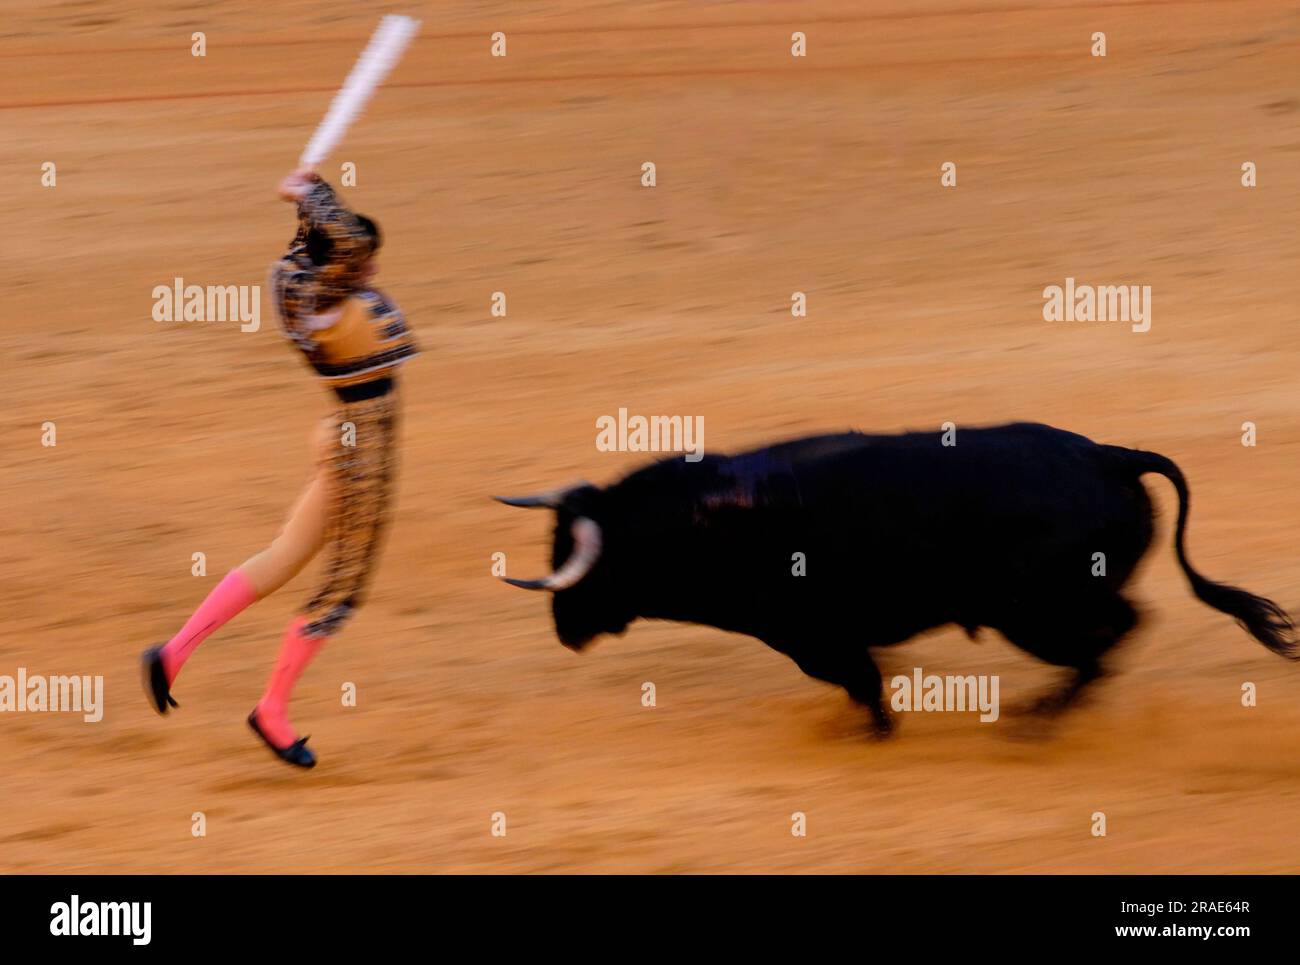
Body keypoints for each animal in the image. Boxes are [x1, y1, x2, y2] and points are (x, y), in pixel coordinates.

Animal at [495, 423, 1295, 734]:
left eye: (583, 563)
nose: (562, 631)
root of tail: (1110, 455)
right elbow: (866, 676)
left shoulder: (813, 635)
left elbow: (860, 681)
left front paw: (874, 730)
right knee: (1119, 633)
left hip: (1036, 610)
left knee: (1117, 632)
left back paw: (1037, 721)